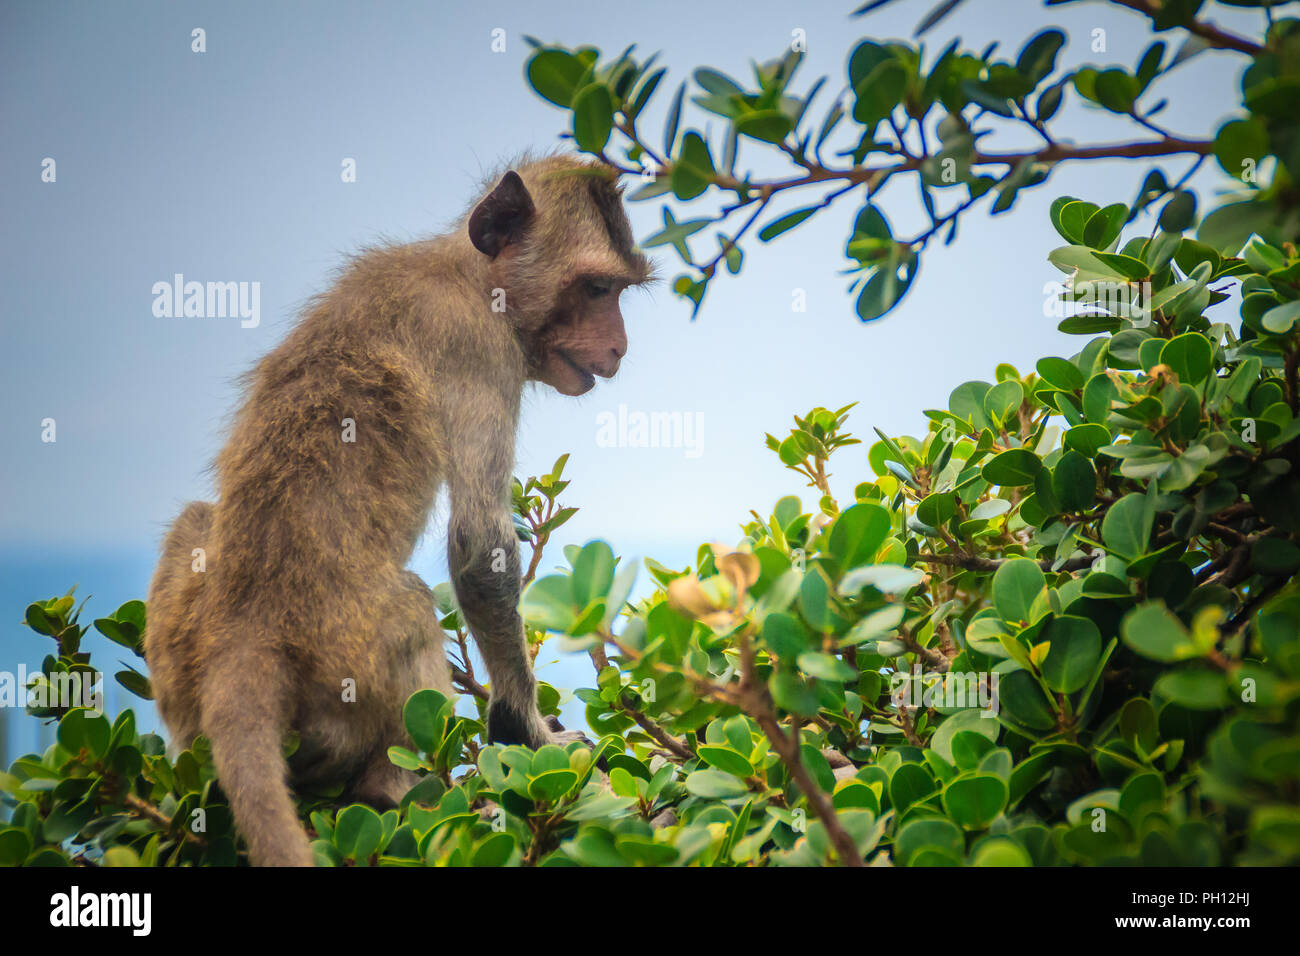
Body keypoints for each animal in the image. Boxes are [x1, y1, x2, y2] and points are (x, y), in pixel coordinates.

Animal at [144, 154, 652, 867]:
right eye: (597, 289)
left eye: (617, 291)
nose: (620, 347)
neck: (467, 273)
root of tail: (242, 640)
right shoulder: (479, 349)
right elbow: (479, 547)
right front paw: (525, 729)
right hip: (347, 677)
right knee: (412, 606)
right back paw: (396, 788)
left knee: (194, 520)